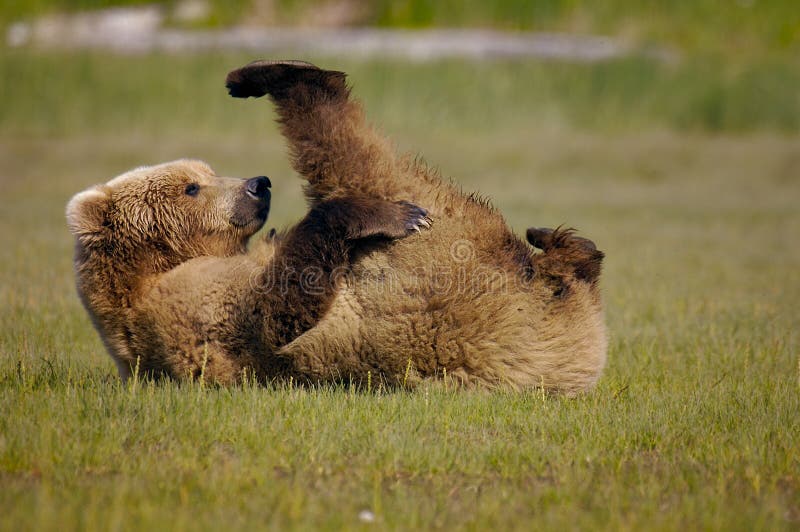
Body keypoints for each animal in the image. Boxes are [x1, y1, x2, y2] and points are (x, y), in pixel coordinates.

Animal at [67, 158, 431, 383]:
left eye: (209, 171)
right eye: (191, 187)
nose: (258, 184)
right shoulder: (187, 301)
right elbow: (277, 308)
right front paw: (399, 214)